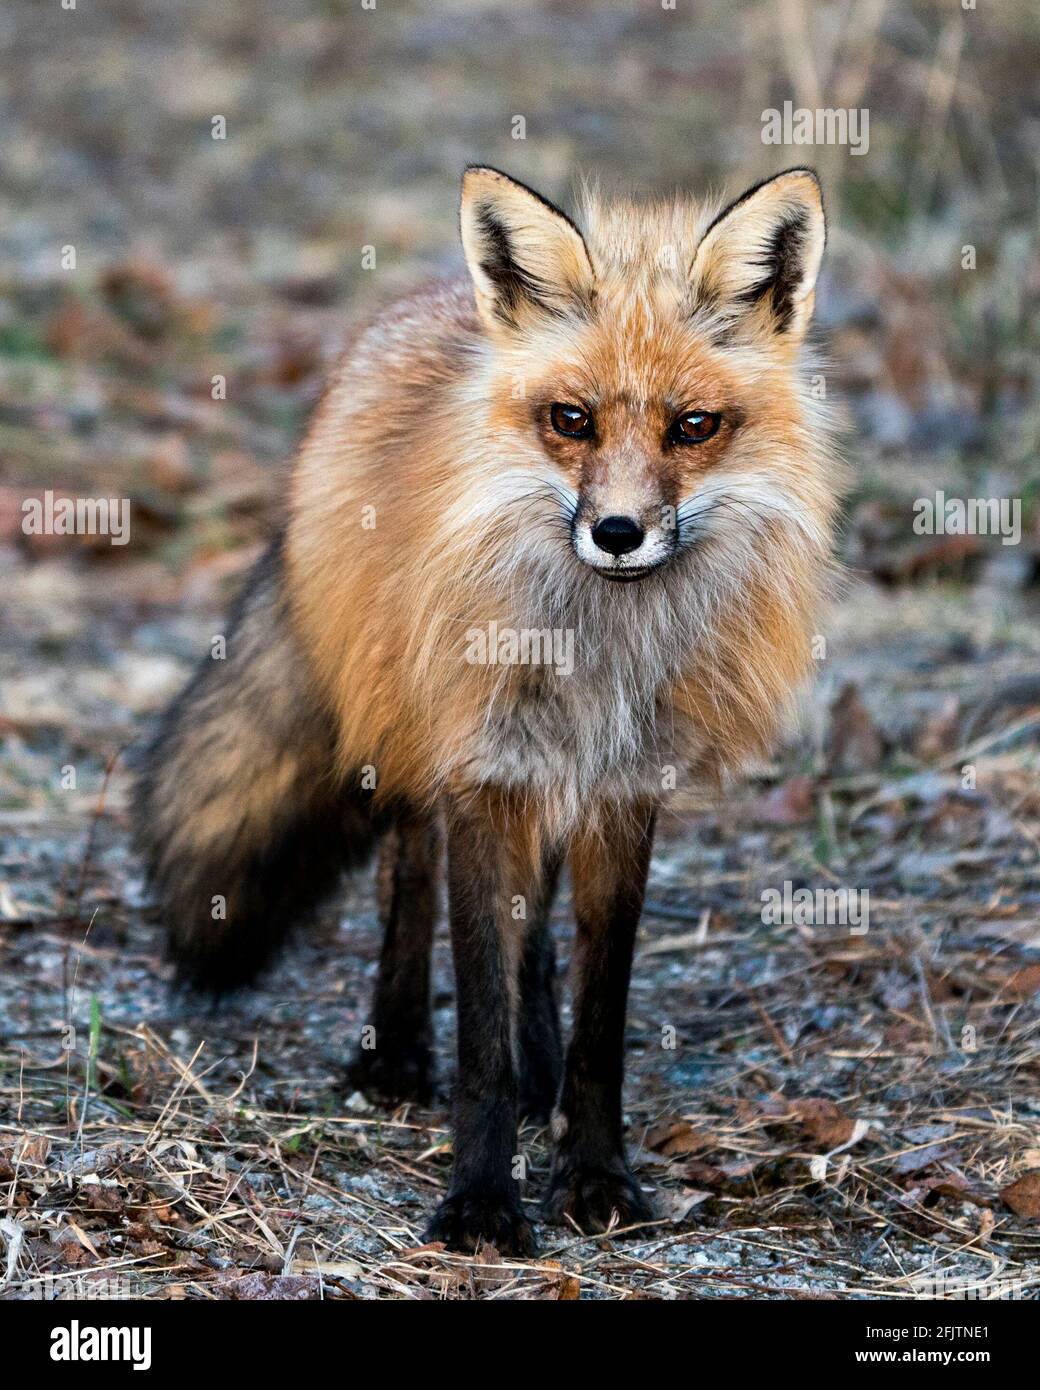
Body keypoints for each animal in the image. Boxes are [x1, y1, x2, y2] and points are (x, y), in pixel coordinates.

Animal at [134, 165, 840, 1255]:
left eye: (693, 426)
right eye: (570, 419)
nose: (618, 532)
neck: (594, 648)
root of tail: (420, 302)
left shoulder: (619, 793)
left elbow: (597, 1022)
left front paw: (591, 1172)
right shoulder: (480, 776)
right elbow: (478, 1029)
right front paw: (479, 1198)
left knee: (535, 934)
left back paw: (535, 1060)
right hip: (411, 731)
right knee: (406, 876)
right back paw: (392, 1054)